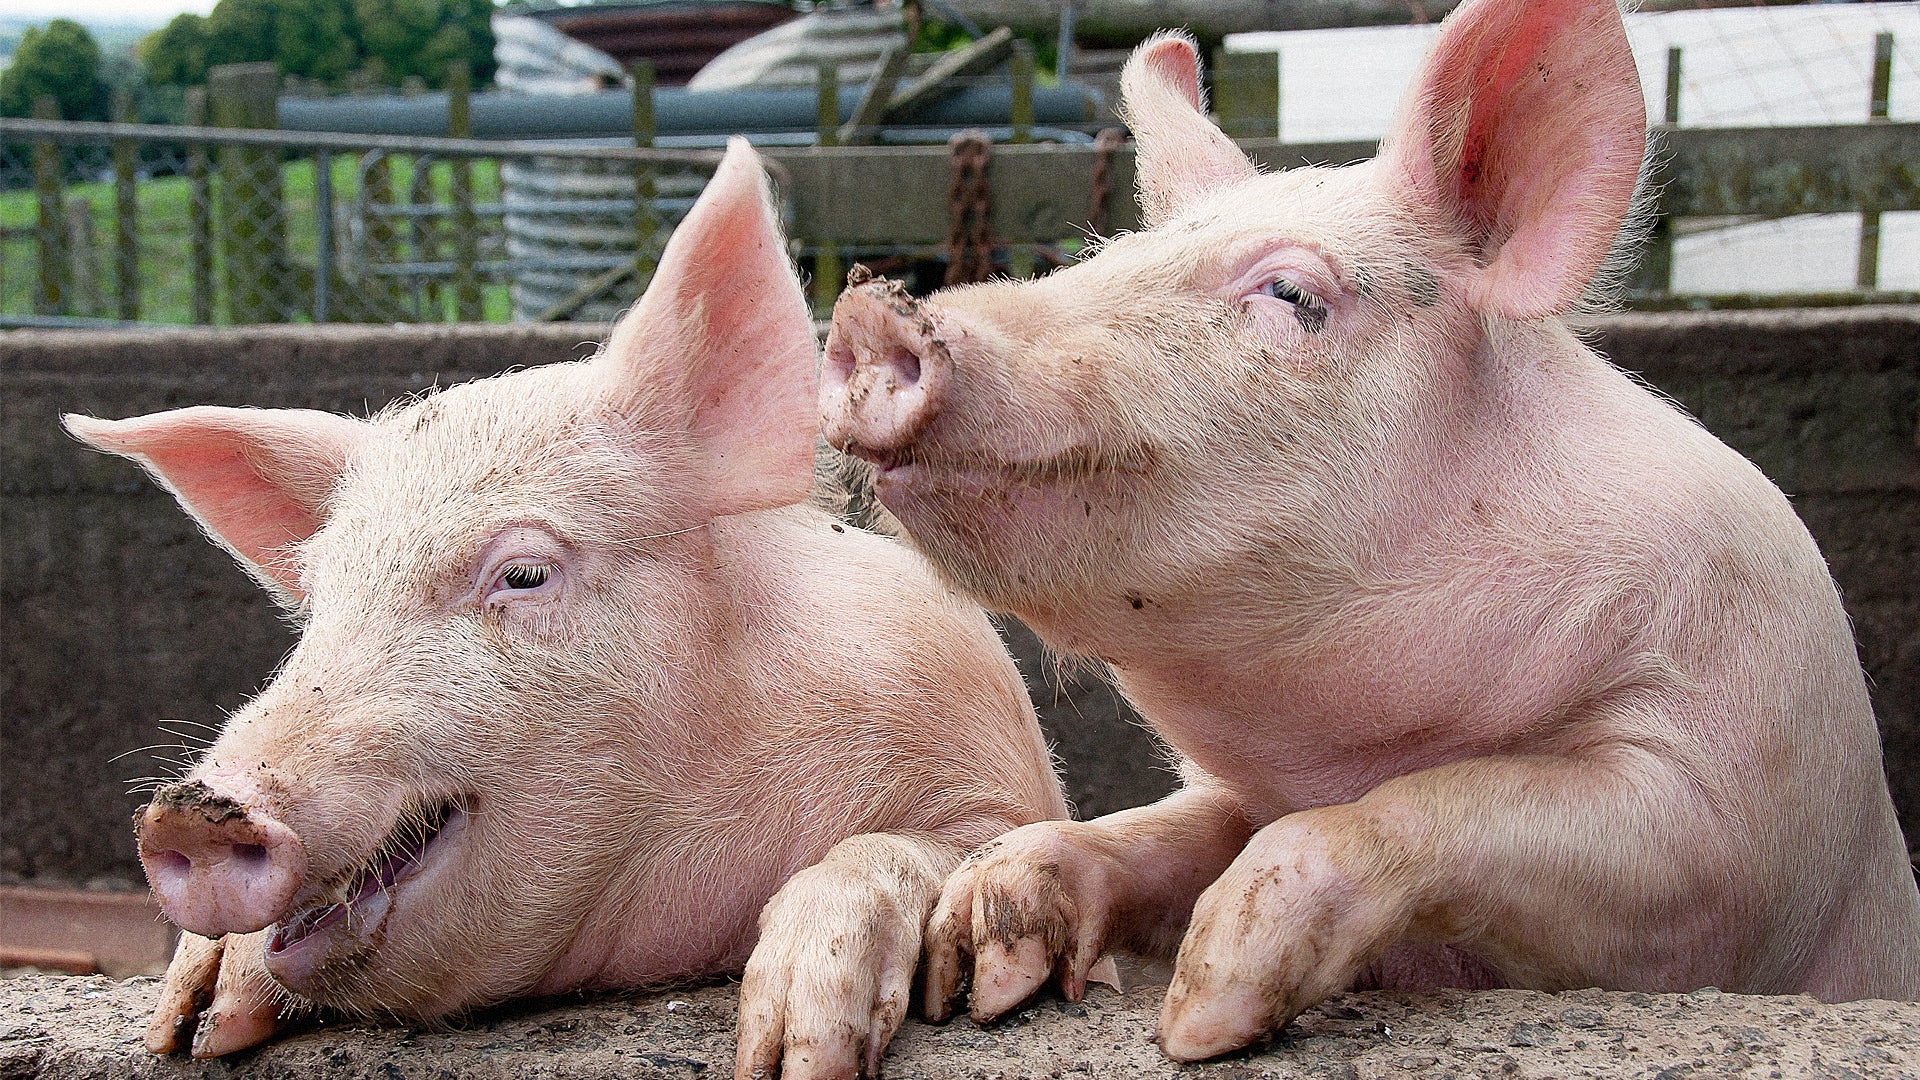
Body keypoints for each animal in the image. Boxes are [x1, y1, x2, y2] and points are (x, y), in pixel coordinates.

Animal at [64, 138, 1066, 1080]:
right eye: (326, 593)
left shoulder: (986, 759)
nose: (190, 812)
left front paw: (796, 1054)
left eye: (524, 575)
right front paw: (192, 1027)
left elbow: (923, 854)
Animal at [819, 0, 1920, 1063]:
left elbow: (1447, 805)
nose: (875, 316)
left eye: (1292, 293)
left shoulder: (1732, 820)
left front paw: (1201, 1013)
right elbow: (1157, 833)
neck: (1358, 747)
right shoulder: (1236, 790)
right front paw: (975, 963)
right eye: (1109, 256)